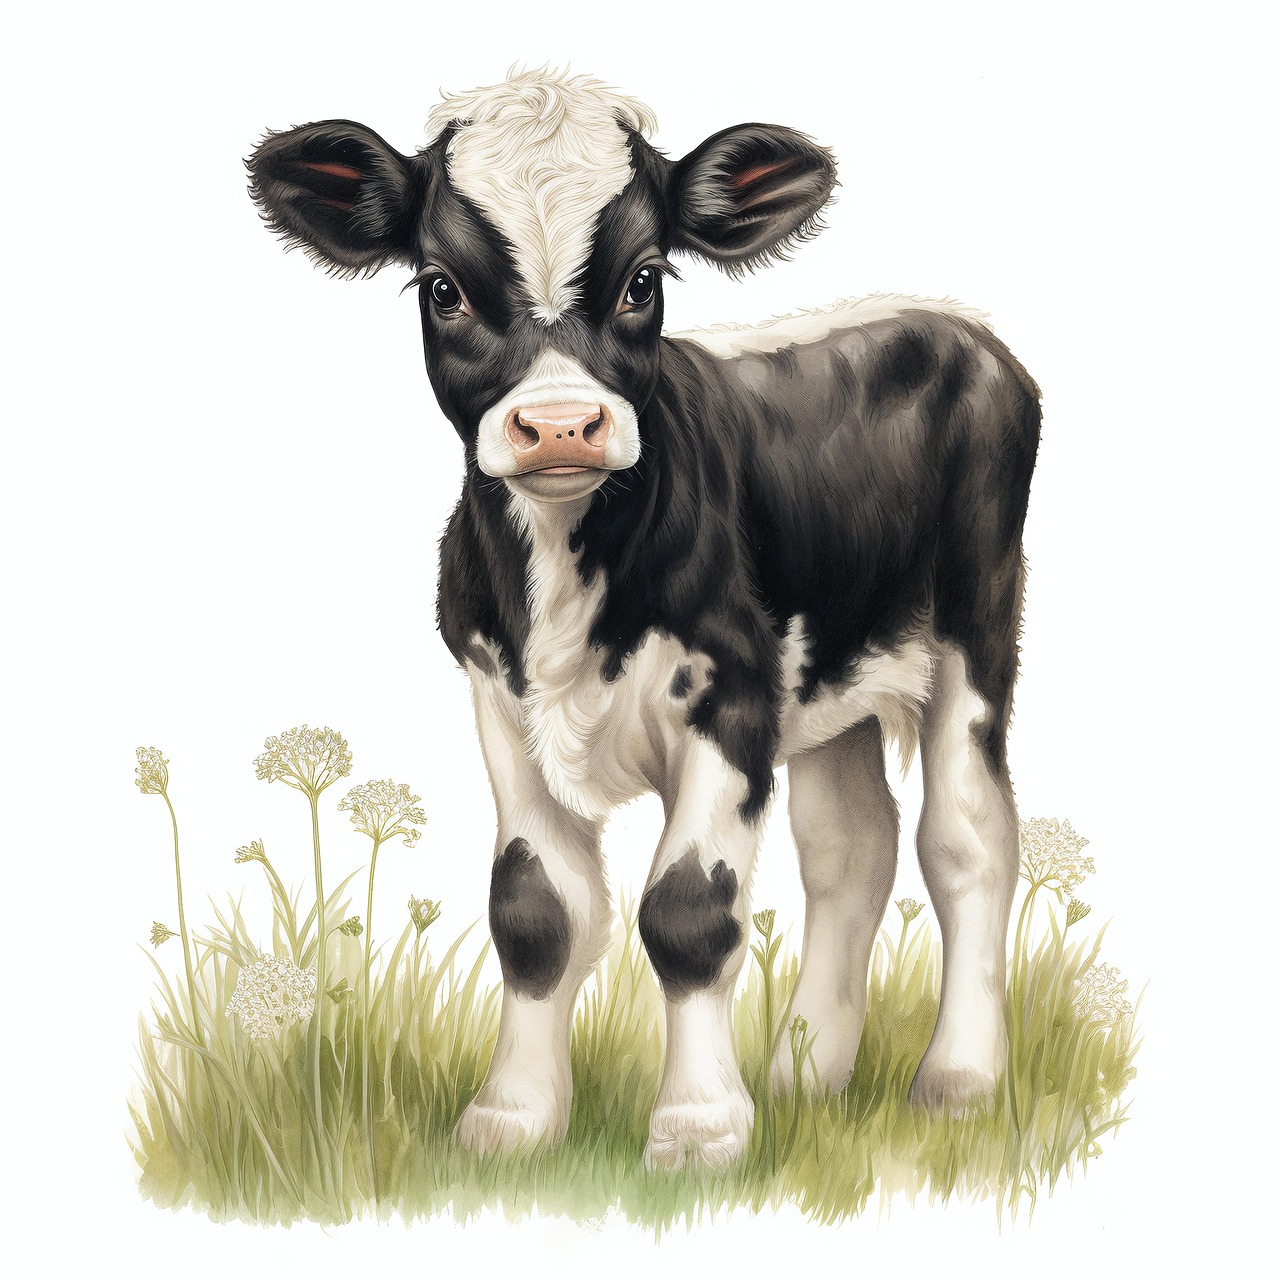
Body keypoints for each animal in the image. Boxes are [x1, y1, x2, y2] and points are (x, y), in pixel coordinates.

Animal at [247, 68, 1040, 1171]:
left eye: (643, 280)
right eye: (442, 287)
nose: (558, 427)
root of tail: (950, 320)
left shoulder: (732, 691)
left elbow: (690, 911)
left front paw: (698, 1124)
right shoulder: (502, 697)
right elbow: (535, 911)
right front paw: (512, 1118)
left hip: (975, 617)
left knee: (966, 836)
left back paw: (957, 1079)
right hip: (826, 680)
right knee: (851, 846)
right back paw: (804, 1075)